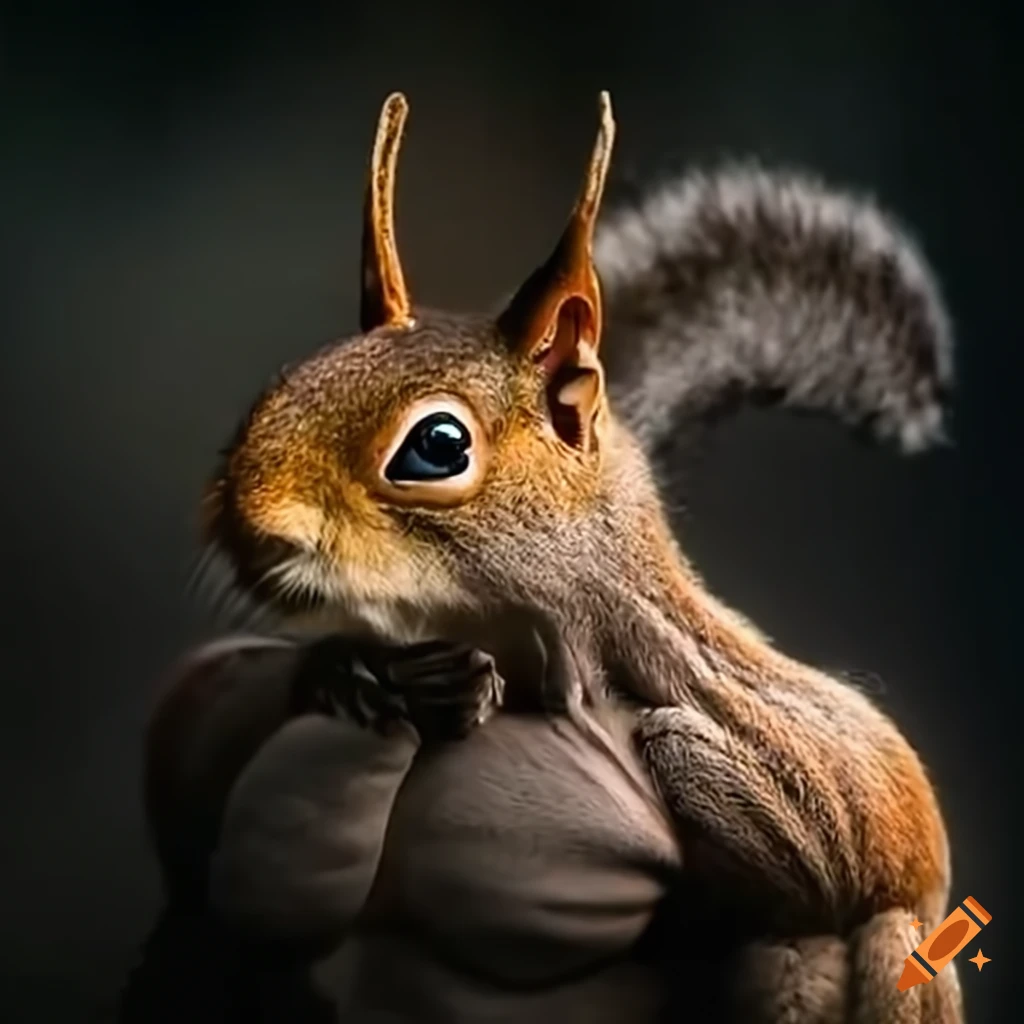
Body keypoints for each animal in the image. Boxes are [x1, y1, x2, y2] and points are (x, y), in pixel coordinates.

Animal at [129, 92, 961, 1024]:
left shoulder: (822, 784)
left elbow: (822, 863)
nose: (249, 527)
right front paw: (365, 673)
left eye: (438, 445)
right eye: (274, 392)